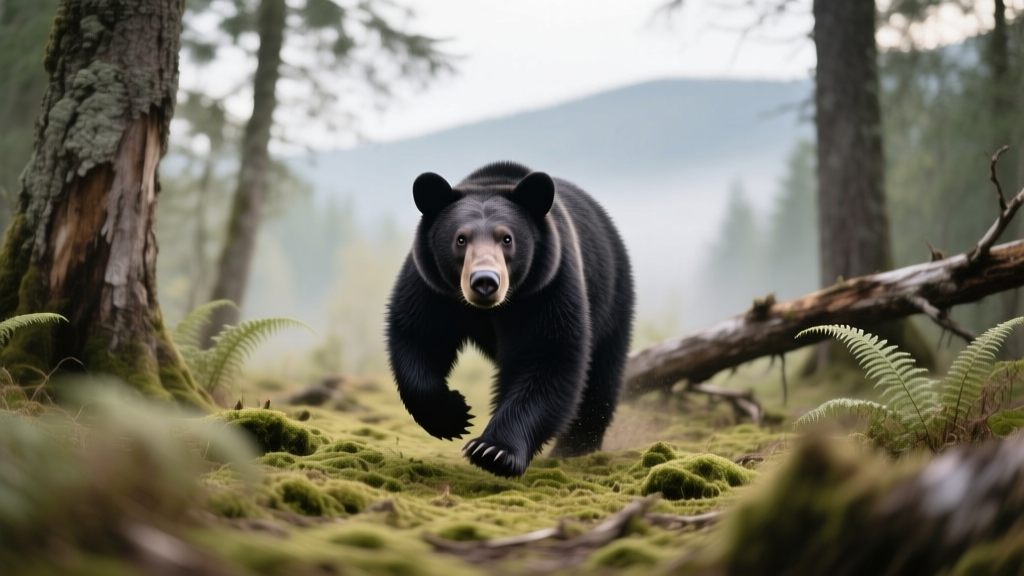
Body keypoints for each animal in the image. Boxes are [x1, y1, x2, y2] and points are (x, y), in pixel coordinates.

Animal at [385, 161, 634, 478]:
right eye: (460, 239)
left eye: (507, 239)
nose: (484, 282)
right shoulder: (433, 286)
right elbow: (420, 335)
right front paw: (452, 415)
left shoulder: (547, 287)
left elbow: (547, 356)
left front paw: (492, 451)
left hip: (612, 298)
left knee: (601, 376)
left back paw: (574, 447)